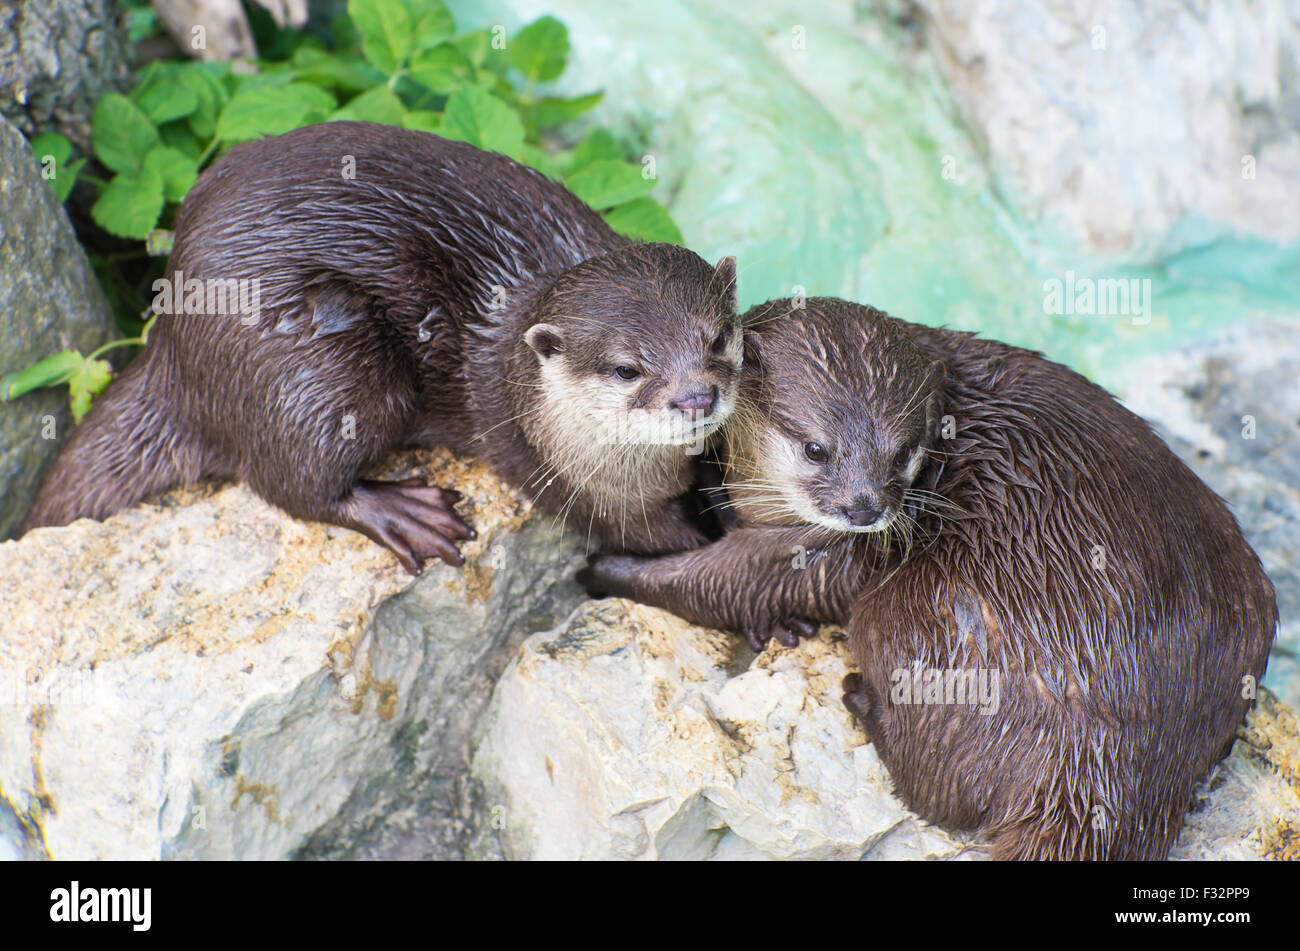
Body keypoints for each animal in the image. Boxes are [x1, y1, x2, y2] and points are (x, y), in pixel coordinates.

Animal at [19, 122, 743, 571]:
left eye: (719, 337)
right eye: (626, 369)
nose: (696, 397)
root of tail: (170, 339)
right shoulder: (568, 480)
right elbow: (652, 537)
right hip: (313, 367)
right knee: (290, 479)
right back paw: (406, 513)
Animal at [580, 297, 1277, 860]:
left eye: (903, 453)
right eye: (815, 449)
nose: (866, 508)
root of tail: (1103, 759)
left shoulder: (812, 551)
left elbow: (718, 583)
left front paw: (604, 568)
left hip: (921, 617)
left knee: (937, 792)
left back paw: (862, 699)